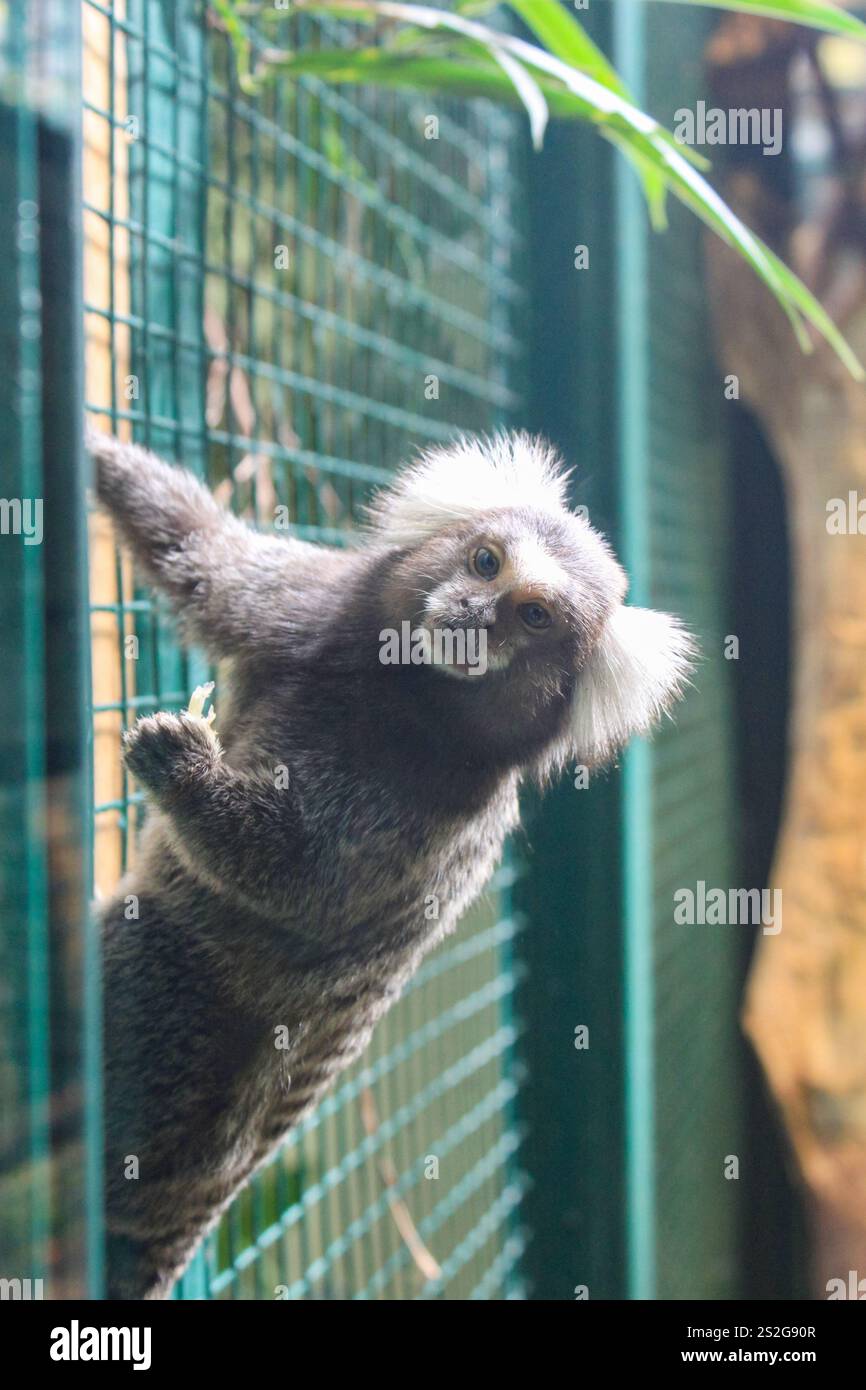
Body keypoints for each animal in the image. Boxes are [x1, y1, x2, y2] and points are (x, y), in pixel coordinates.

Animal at [89, 428, 695, 1298]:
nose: (473, 616)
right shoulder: (313, 603)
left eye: (533, 617)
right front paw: (94, 455)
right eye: (485, 562)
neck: (409, 695)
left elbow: (299, 879)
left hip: (174, 1031)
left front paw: (186, 769)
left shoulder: (426, 813)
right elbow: (202, 557)